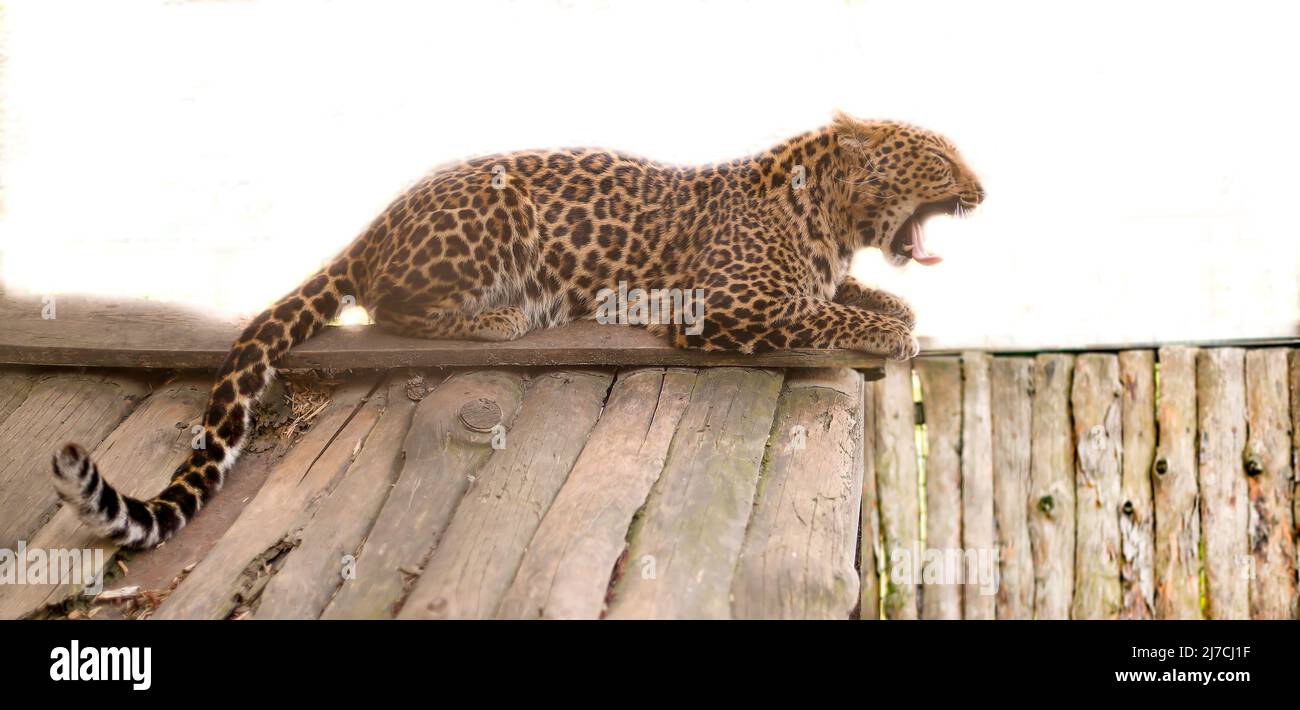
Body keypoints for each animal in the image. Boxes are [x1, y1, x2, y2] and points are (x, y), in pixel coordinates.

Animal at [51, 111, 983, 549]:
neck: (831, 215)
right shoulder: (722, 307)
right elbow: (825, 310)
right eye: (940, 160)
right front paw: (888, 333)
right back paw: (505, 314)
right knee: (385, 307)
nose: (982, 192)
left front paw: (897, 317)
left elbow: (869, 296)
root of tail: (372, 224)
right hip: (498, 209)